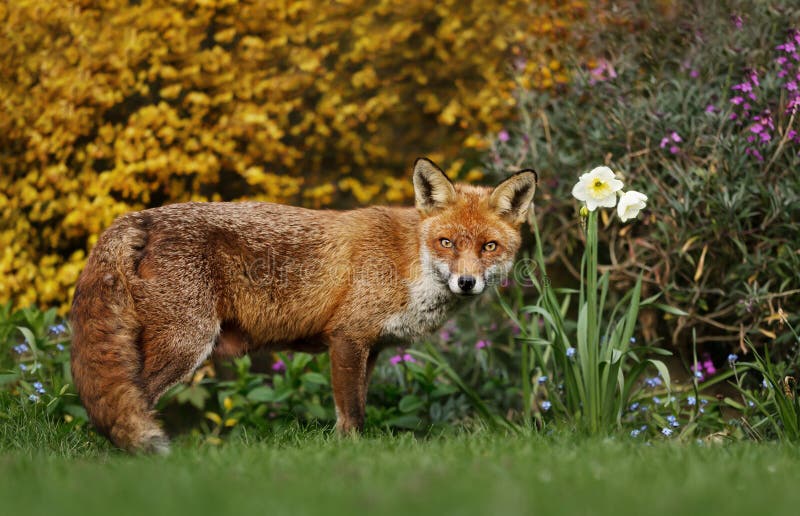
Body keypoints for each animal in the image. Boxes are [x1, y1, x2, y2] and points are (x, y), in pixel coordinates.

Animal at [70, 158, 537, 453]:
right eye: (447, 242)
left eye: (489, 246)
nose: (466, 282)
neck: (407, 262)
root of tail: (137, 217)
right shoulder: (347, 338)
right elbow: (351, 415)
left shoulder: (372, 348)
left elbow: (358, 409)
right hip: (186, 345)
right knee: (131, 404)